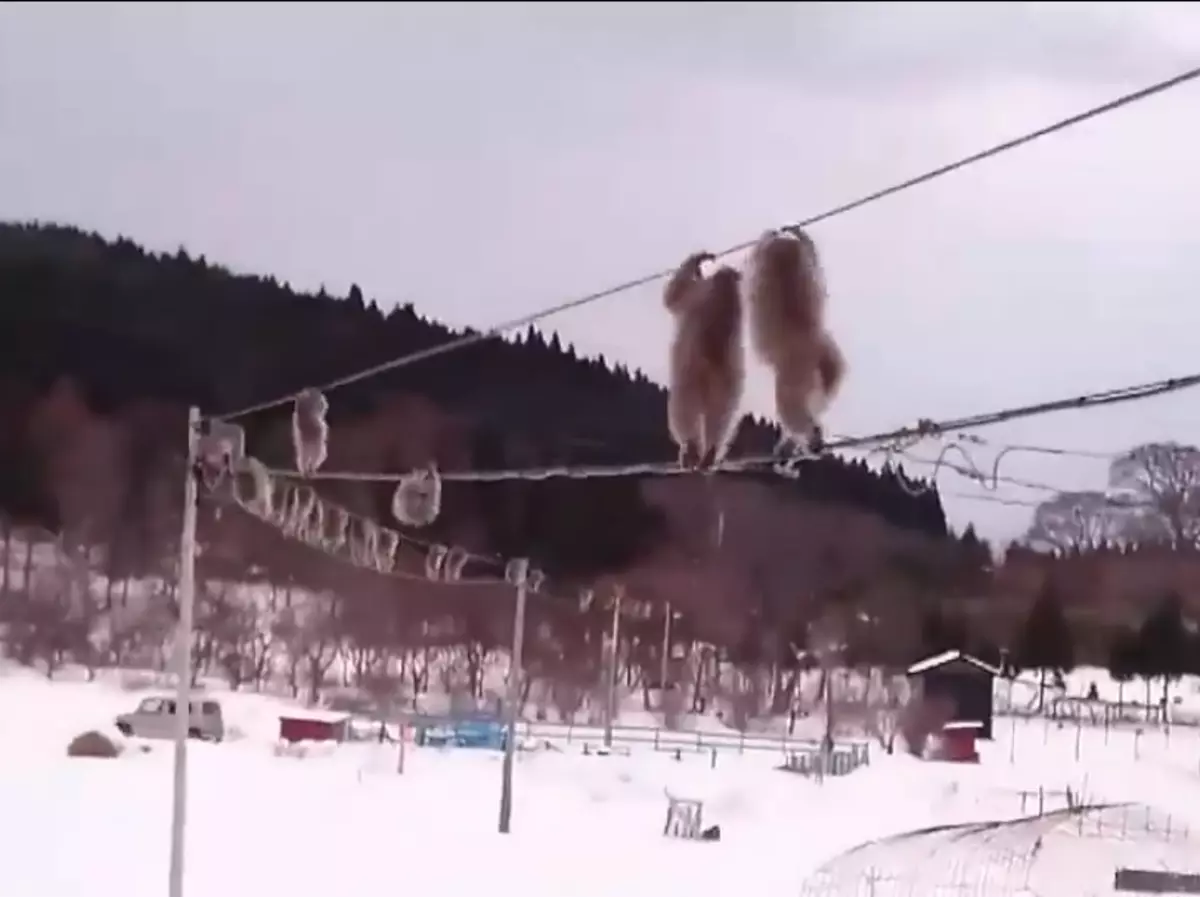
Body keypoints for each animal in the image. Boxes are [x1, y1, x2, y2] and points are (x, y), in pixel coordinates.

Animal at [662, 247, 744, 470]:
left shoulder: (697, 296)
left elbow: (674, 294)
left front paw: (699, 259)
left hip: (691, 379)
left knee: (683, 409)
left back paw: (690, 451)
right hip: (728, 386)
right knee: (721, 418)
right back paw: (709, 454)